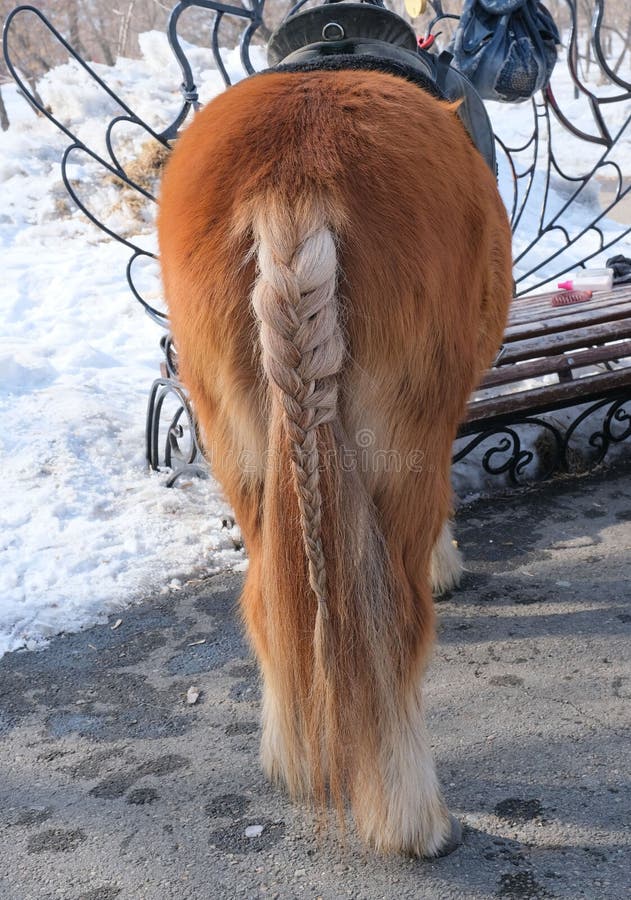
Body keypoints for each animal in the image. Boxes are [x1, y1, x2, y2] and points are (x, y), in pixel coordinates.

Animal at [158, 12, 513, 856]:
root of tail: (291, 184)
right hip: (402, 436)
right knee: (392, 627)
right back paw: (416, 819)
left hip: (239, 441)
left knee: (269, 603)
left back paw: (289, 757)